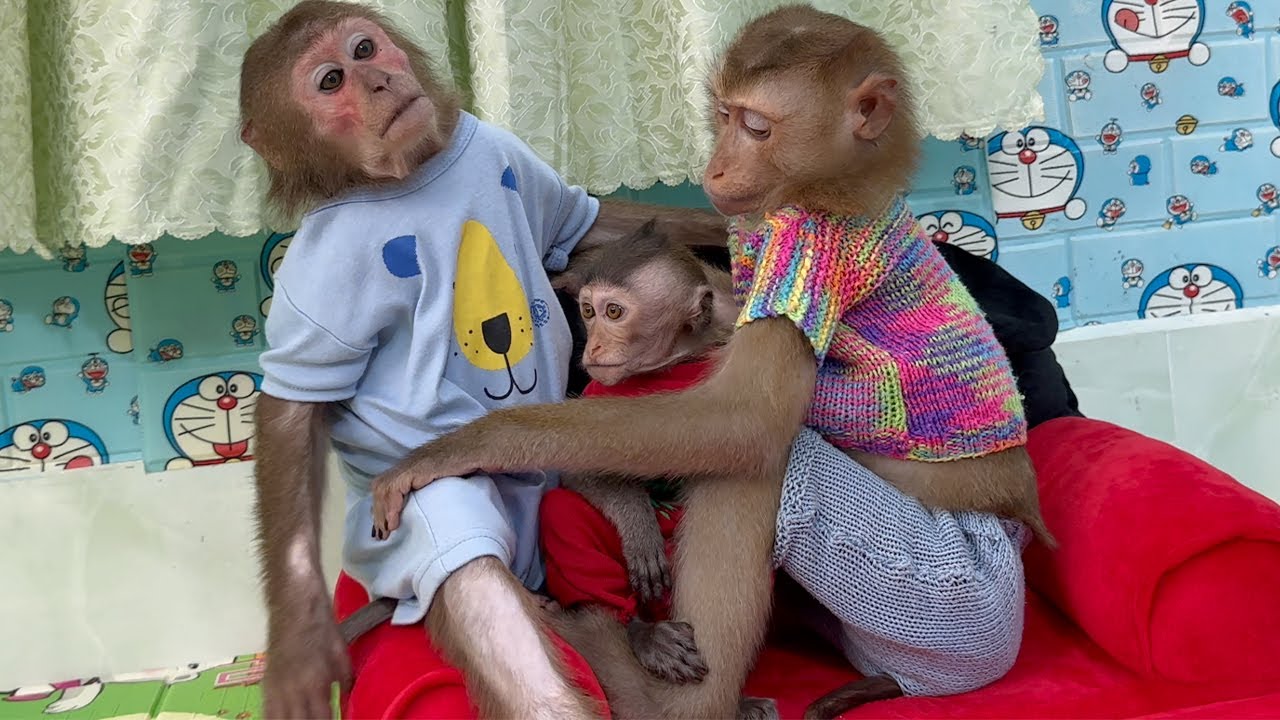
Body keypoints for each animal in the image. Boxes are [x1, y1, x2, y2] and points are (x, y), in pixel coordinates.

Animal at [236, 2, 730, 718]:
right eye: (331, 82)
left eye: (363, 50)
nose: (379, 80)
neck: (408, 182)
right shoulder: (323, 258)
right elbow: (292, 408)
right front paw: (300, 640)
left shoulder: (493, 146)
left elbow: (583, 223)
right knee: (471, 565)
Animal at [367, 4, 1054, 719]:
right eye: (723, 115)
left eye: (756, 126)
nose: (717, 167)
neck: (840, 183)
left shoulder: (804, 244)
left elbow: (741, 422)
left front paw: (465, 445)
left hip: (943, 588)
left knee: (758, 457)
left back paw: (662, 694)